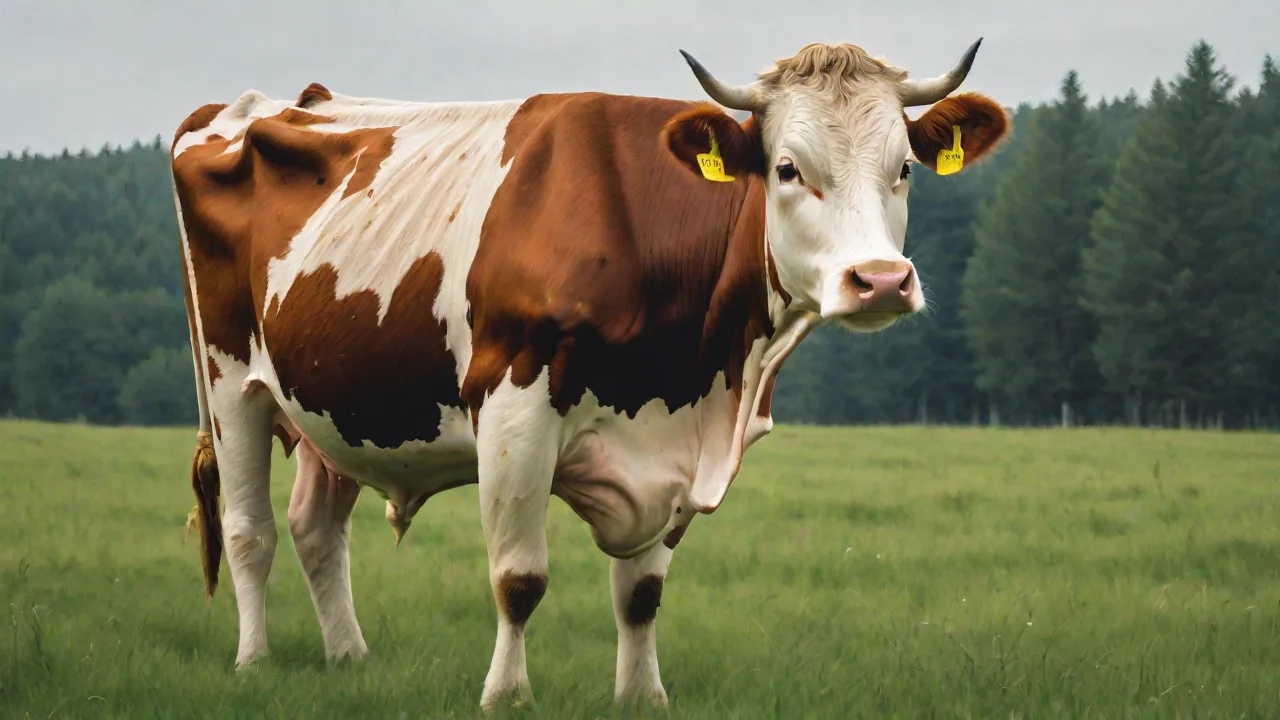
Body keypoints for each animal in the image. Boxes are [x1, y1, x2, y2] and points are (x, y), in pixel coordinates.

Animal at [173, 38, 1009, 710]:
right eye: (786, 168)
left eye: (904, 168)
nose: (880, 280)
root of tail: (260, 105)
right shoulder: (513, 410)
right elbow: (519, 579)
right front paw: (506, 697)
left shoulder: (672, 448)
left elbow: (641, 594)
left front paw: (642, 697)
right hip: (231, 380)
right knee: (249, 530)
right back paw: (253, 662)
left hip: (336, 399)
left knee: (318, 527)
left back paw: (350, 659)